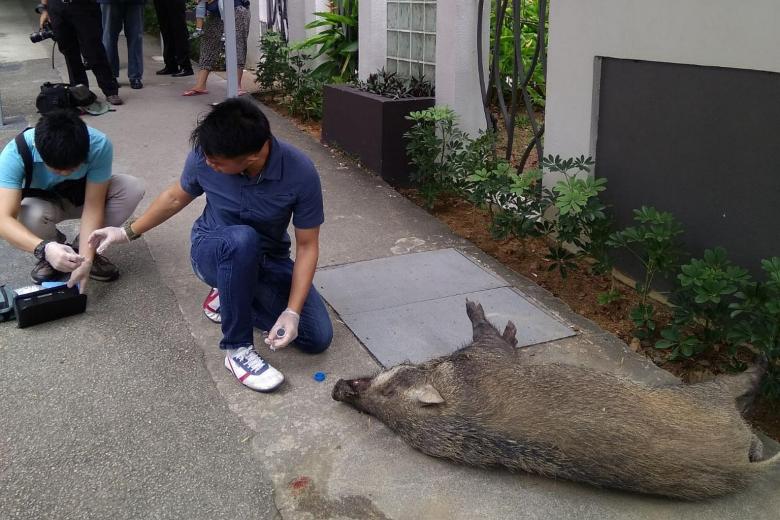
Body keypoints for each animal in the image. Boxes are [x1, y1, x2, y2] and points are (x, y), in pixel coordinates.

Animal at [332, 300, 780, 500]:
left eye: (387, 389)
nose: (340, 387)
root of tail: (741, 463)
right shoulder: (485, 361)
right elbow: (492, 338)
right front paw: (482, 312)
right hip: (706, 396)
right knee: (740, 385)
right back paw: (762, 359)